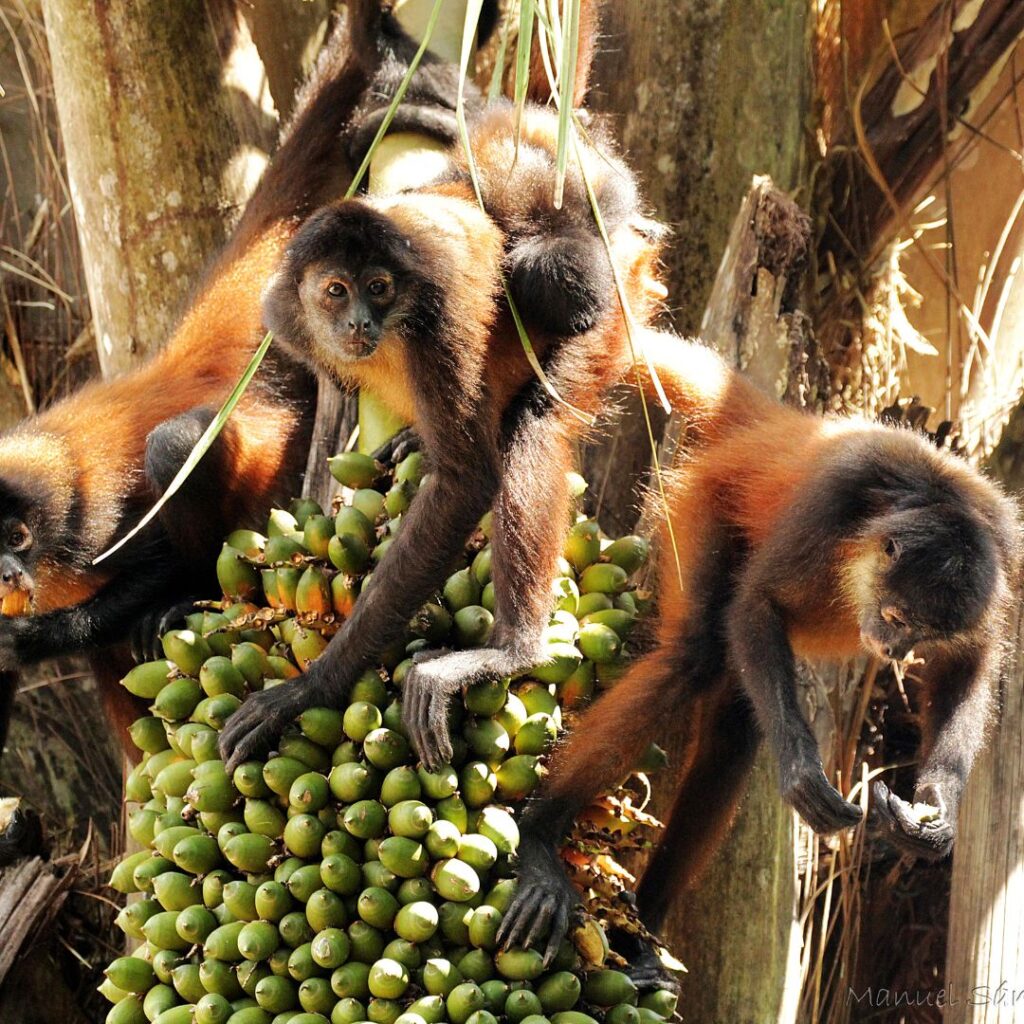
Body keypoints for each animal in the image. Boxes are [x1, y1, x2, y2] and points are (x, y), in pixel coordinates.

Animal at [490, 330, 1020, 989]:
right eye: (898, 619)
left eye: (920, 633)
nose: (895, 650)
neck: (932, 494)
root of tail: (780, 423)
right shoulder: (834, 493)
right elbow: (757, 604)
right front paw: (801, 771)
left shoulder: (1000, 550)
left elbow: (968, 665)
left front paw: (936, 814)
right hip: (704, 499)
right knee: (698, 652)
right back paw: (541, 839)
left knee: (732, 732)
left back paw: (642, 935)